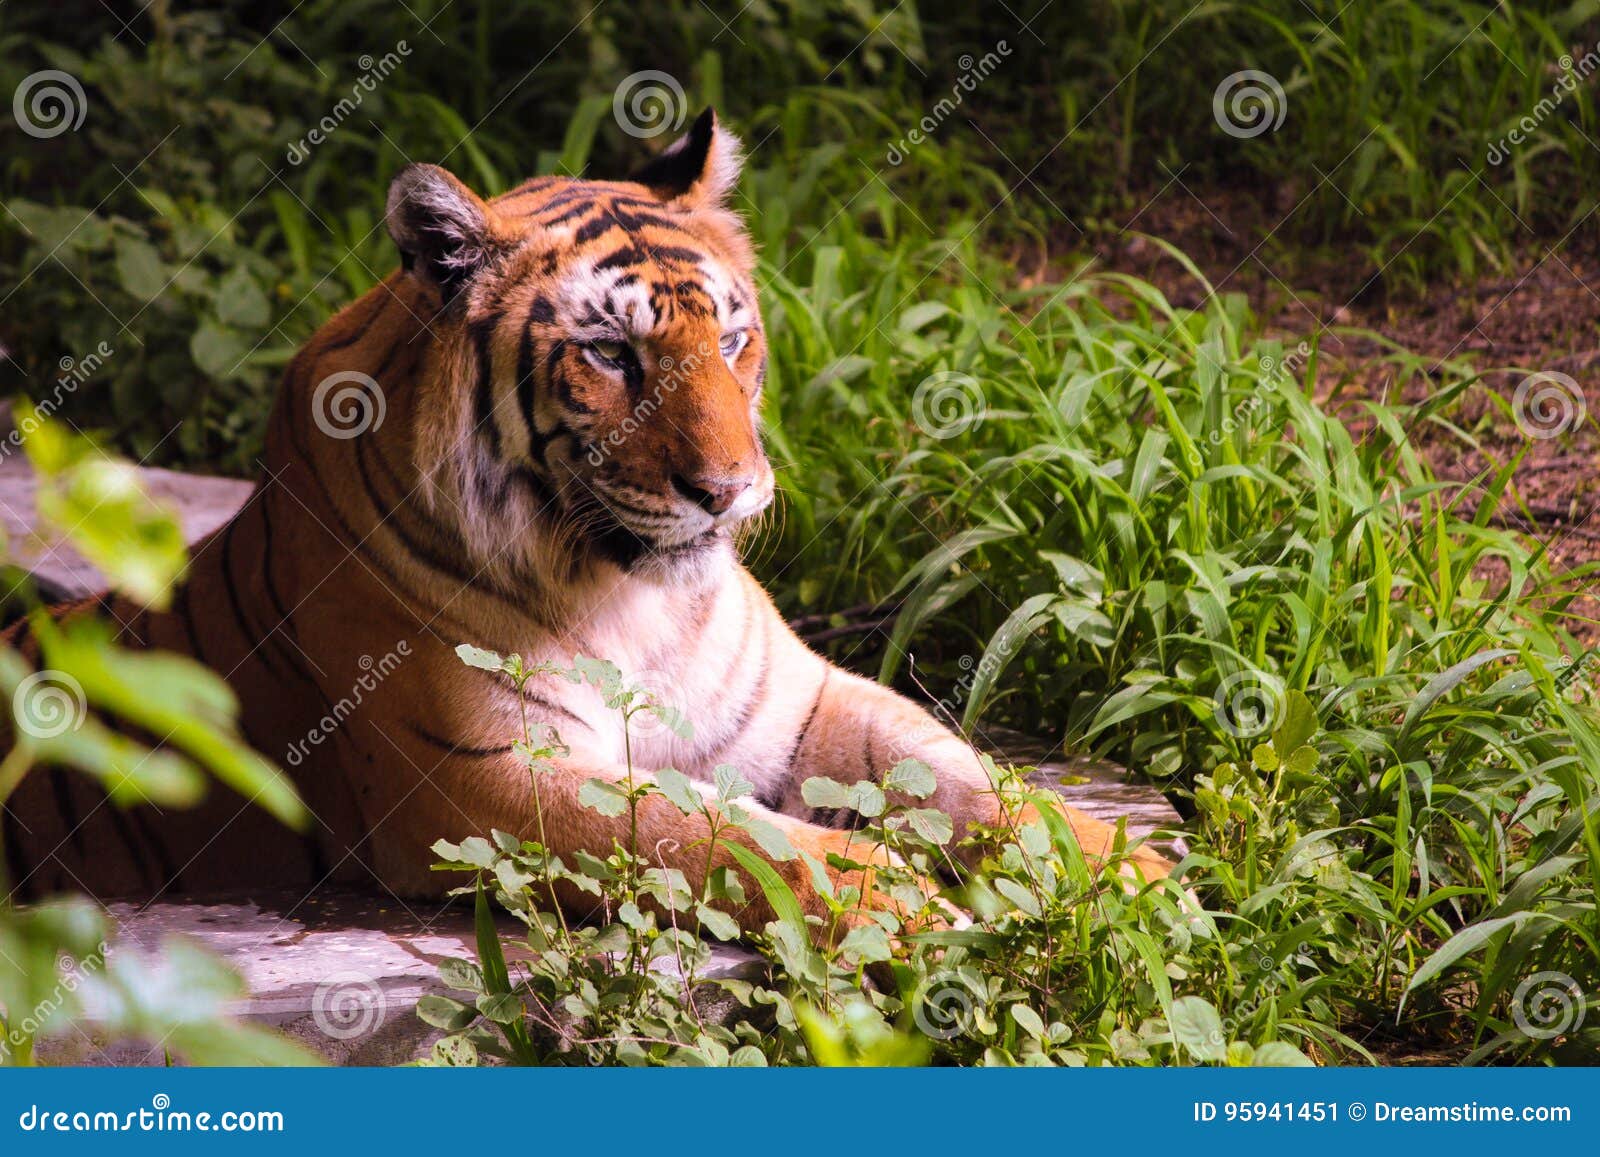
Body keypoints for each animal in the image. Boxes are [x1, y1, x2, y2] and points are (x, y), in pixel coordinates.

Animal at [2, 109, 1175, 934]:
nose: (730, 489)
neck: (636, 599)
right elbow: (720, 837)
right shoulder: (476, 782)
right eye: (612, 355)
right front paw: (897, 902)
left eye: (732, 337)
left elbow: (974, 778)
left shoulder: (799, 707)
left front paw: (1131, 871)